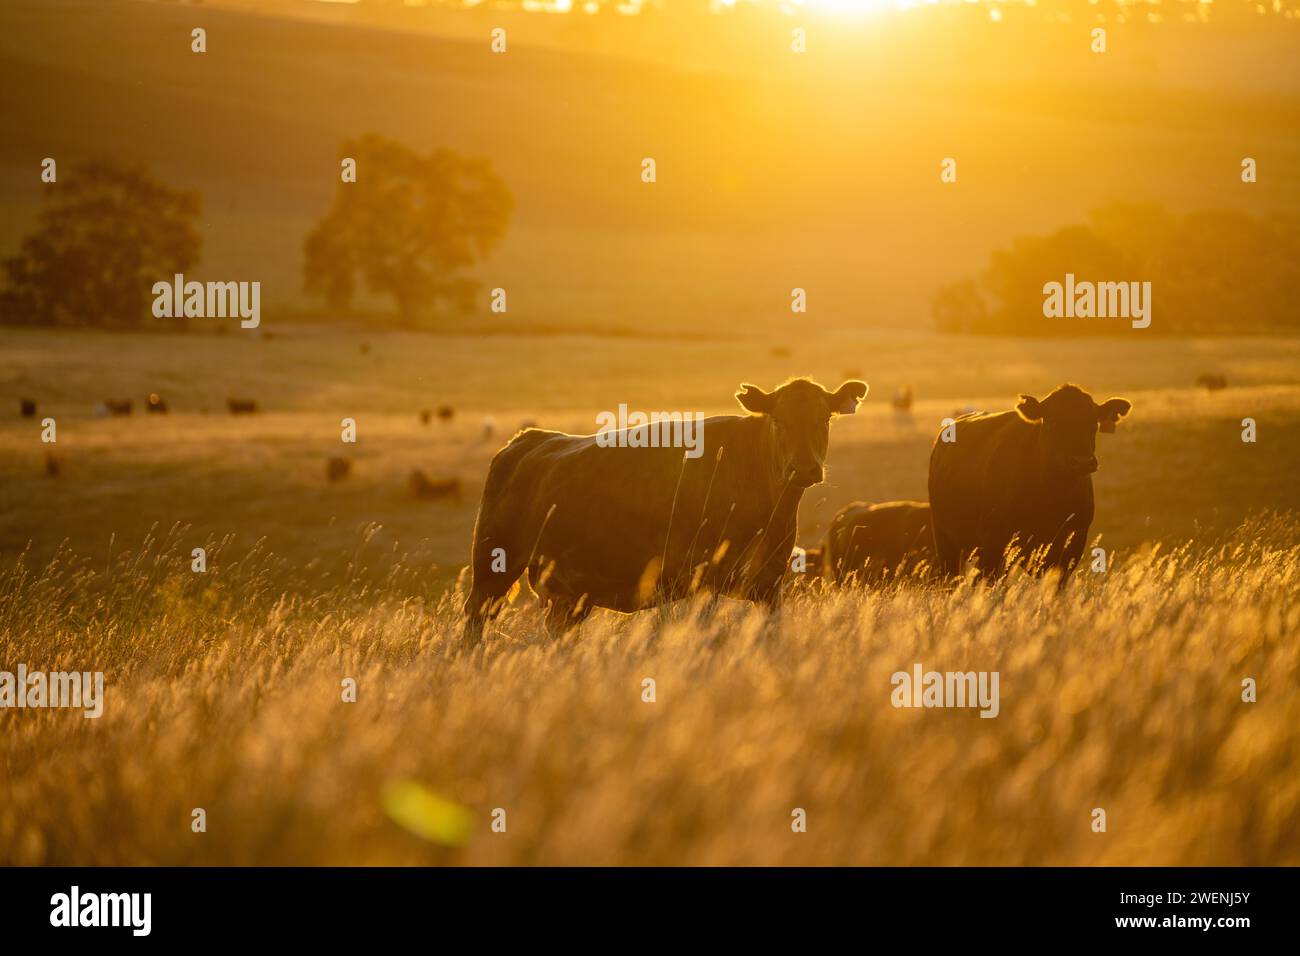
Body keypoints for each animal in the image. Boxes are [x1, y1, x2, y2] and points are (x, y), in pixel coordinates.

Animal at [462, 377, 868, 643]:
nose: (805, 468)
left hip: (566, 595)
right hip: (493, 569)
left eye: (824, 419)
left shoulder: (769, 584)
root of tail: (531, 439)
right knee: (473, 624)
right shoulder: (704, 580)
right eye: (778, 420)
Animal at [928, 384, 1132, 584]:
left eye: (1093, 423)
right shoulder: (995, 542)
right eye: (1053, 422)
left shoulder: (1072, 546)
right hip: (945, 539)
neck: (1053, 494)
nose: (1082, 461)